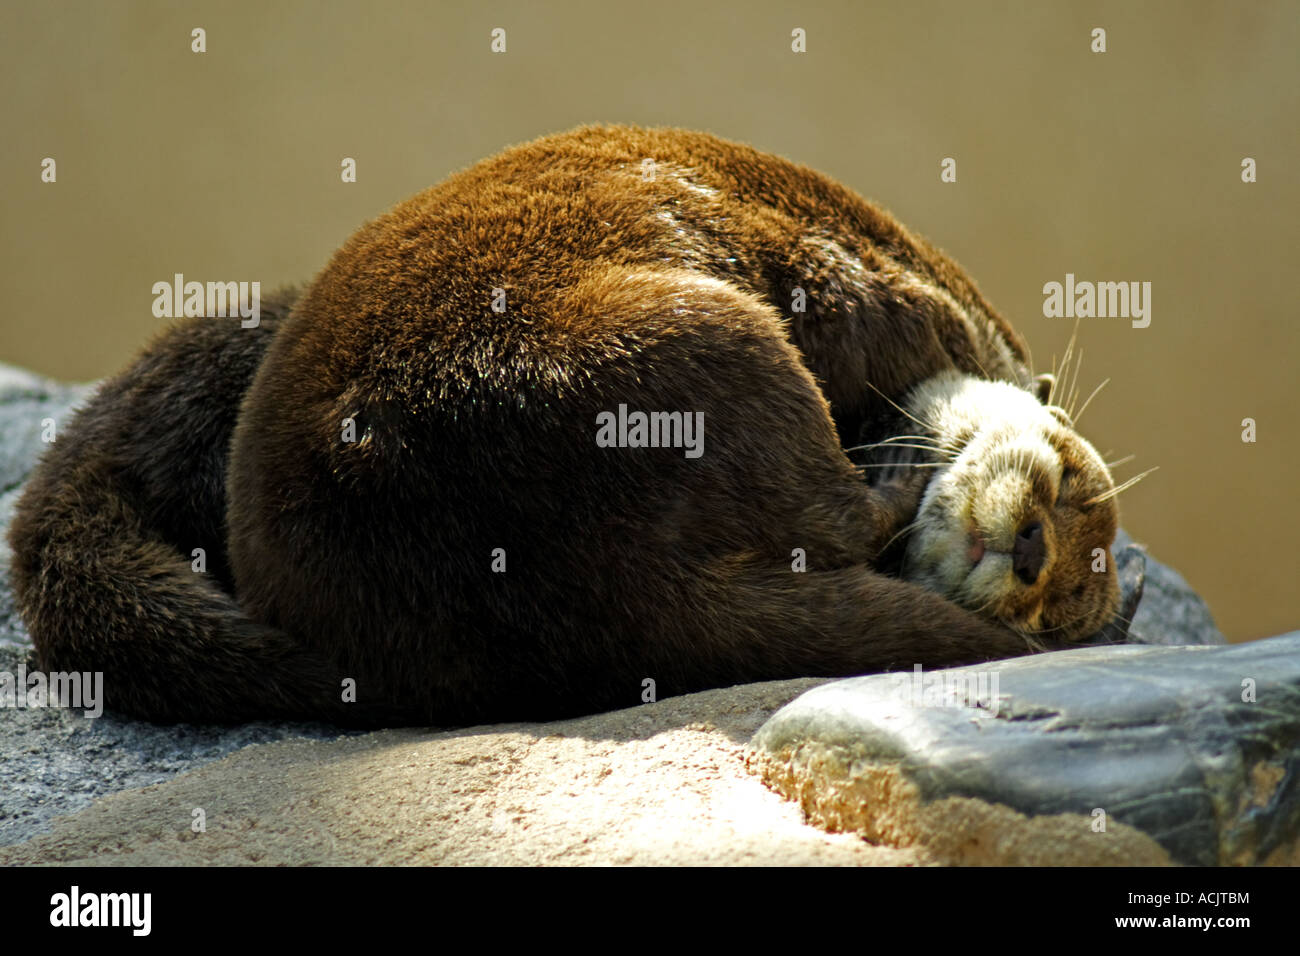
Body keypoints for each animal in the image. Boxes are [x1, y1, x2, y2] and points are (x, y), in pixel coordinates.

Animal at [8, 125, 1127, 727]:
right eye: (1065, 486)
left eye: (1059, 609)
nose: (1034, 554)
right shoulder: (868, 276)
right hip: (701, 331)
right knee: (831, 507)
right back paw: (891, 471)